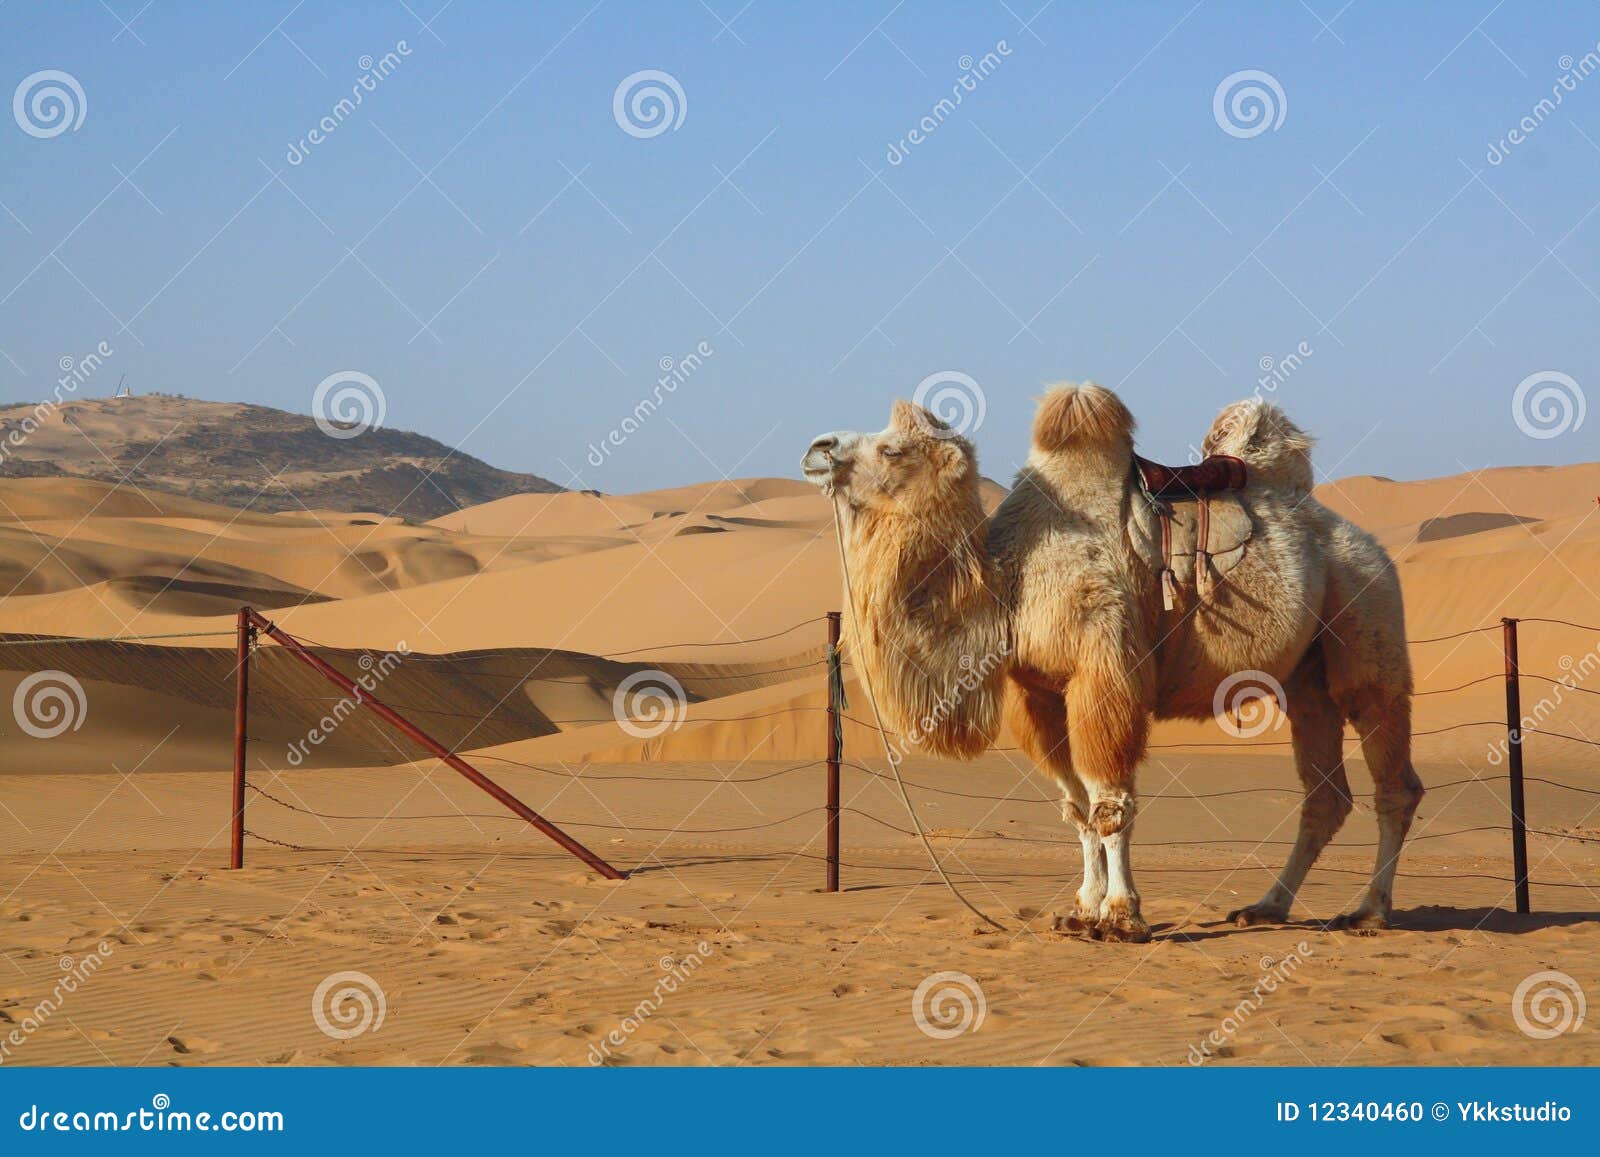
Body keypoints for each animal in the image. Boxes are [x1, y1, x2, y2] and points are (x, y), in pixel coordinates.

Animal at [802, 384, 1422, 943]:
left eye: (892, 449)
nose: (817, 447)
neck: (1012, 583)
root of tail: (1369, 545)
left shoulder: (1103, 672)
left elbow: (1109, 805)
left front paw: (1122, 918)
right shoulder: (1039, 692)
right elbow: (1077, 809)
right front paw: (1081, 910)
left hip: (1369, 617)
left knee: (1393, 776)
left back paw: (1368, 912)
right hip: (1306, 682)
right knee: (1324, 795)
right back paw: (1266, 907)